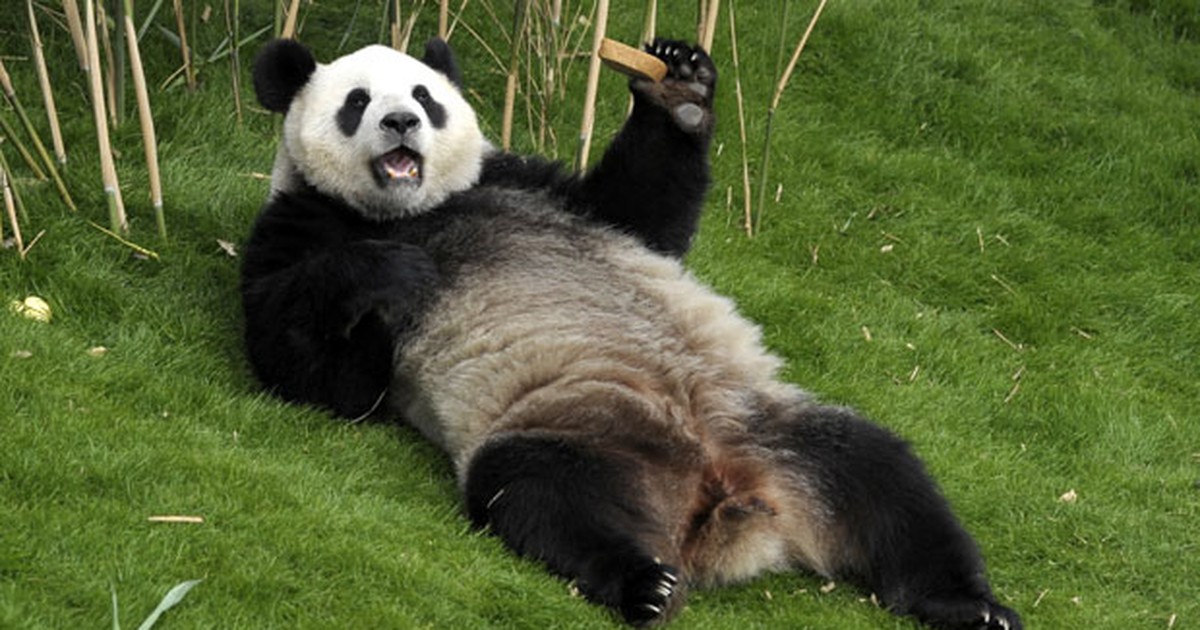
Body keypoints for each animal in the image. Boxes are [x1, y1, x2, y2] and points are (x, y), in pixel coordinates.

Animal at [241, 36, 1022, 629]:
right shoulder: (304, 220)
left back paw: (968, 604)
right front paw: (387, 271)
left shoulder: (529, 179)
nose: (402, 122)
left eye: (425, 96)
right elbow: (318, 375)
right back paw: (646, 584)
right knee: (542, 496)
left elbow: (641, 214)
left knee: (887, 482)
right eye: (357, 103)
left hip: (774, 428)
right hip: (578, 428)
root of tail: (725, 496)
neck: (420, 208)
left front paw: (680, 85)